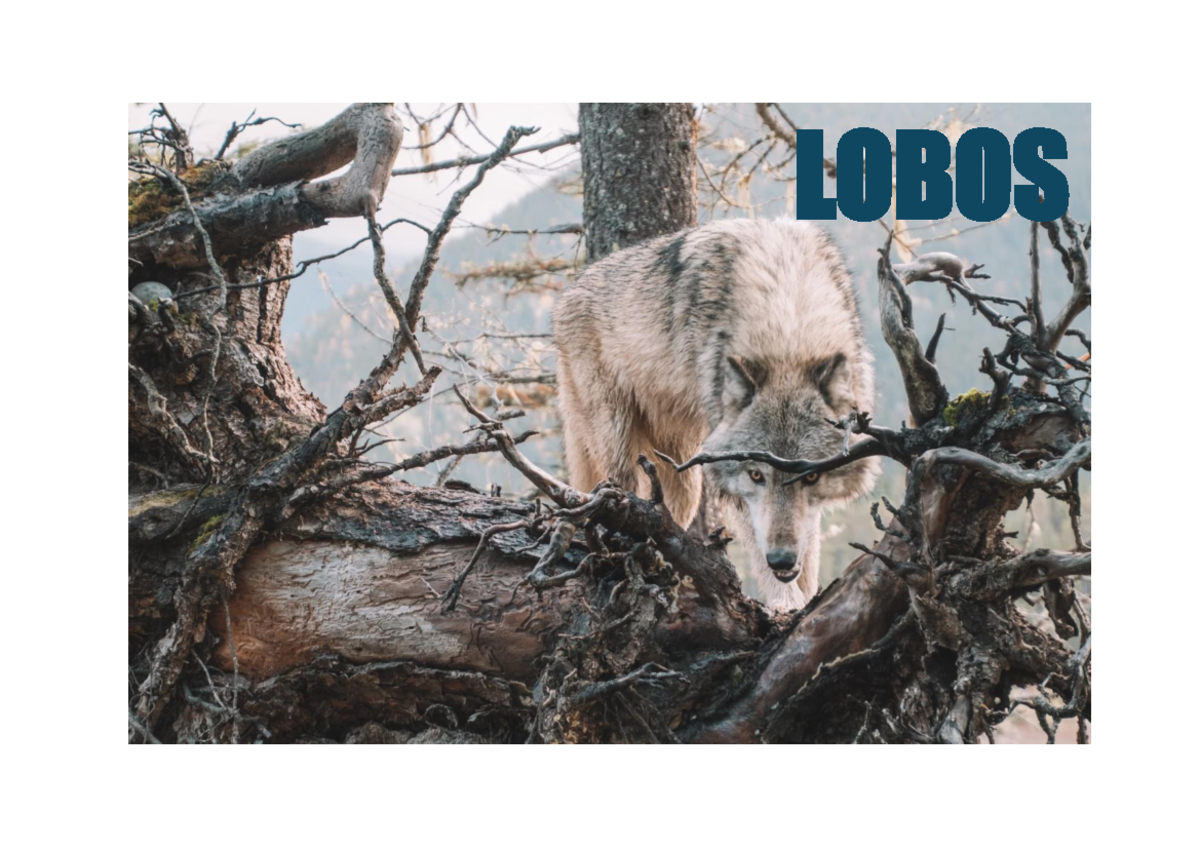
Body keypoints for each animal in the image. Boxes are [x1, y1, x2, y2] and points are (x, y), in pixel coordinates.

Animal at [552, 218, 879, 611]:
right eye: (755, 475)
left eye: (811, 477)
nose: (782, 560)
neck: (788, 324)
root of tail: (568, 293)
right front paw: (786, 605)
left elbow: (810, 542)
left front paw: (808, 596)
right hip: (621, 450)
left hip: (683, 478)